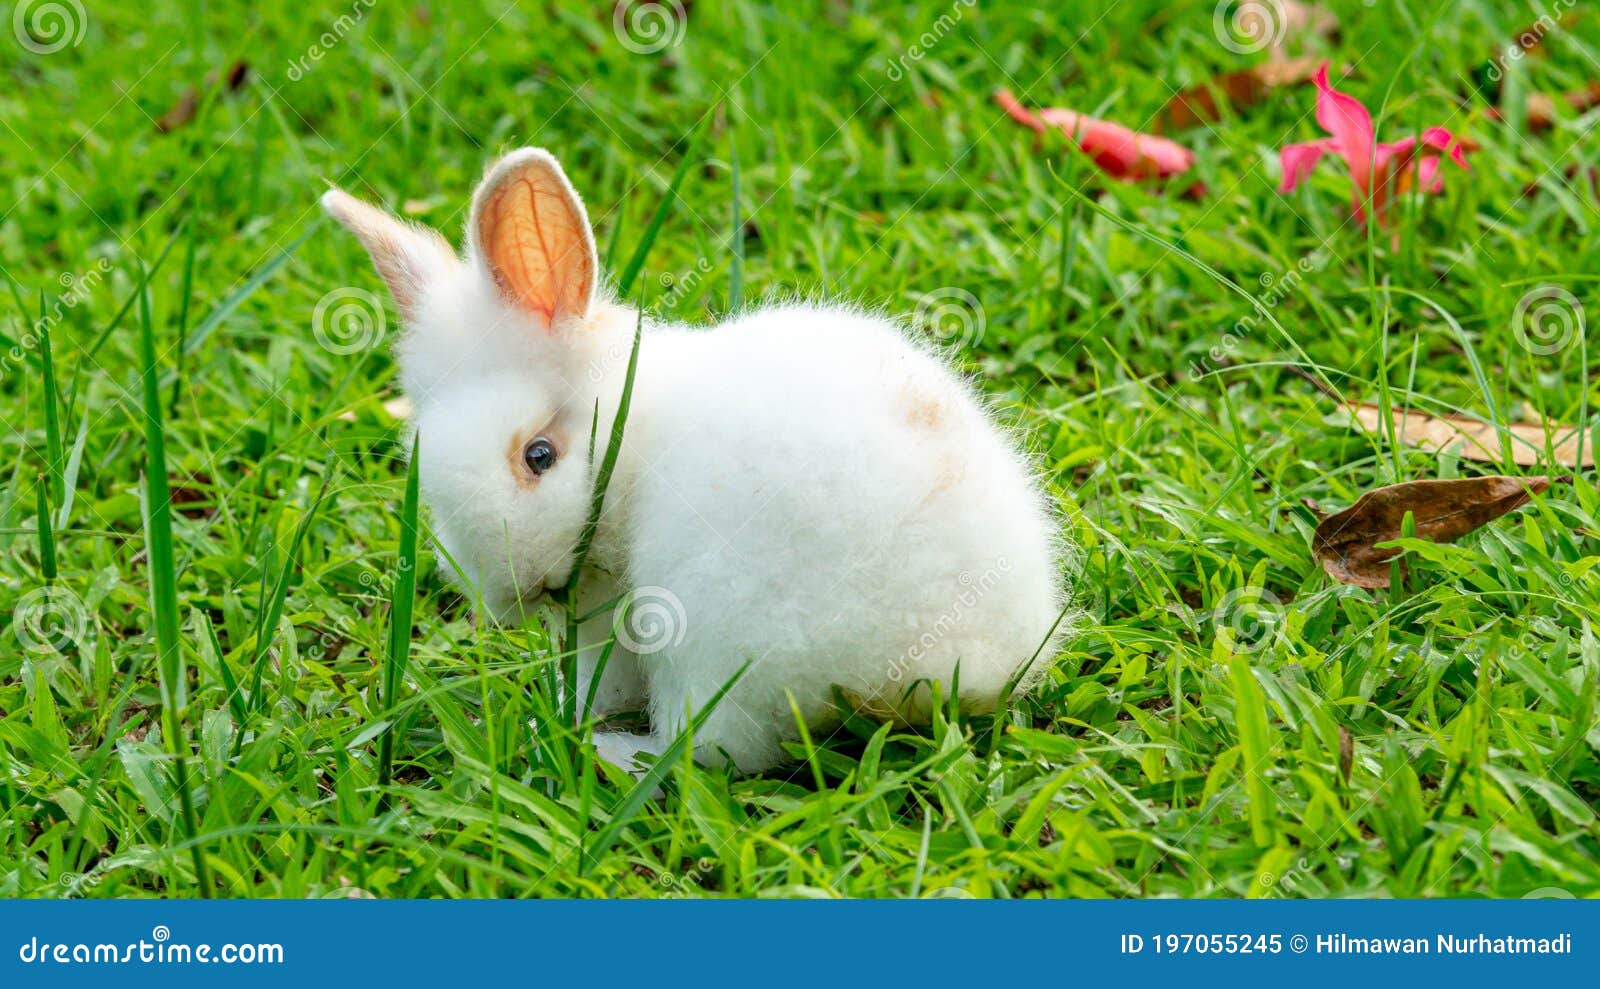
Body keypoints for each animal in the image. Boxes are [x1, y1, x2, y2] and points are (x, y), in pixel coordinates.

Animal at [321, 147, 1070, 775]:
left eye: (539, 456)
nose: (514, 590)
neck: (633, 439)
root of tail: (963, 660)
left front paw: (564, 720)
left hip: (715, 637)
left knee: (714, 751)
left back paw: (611, 753)